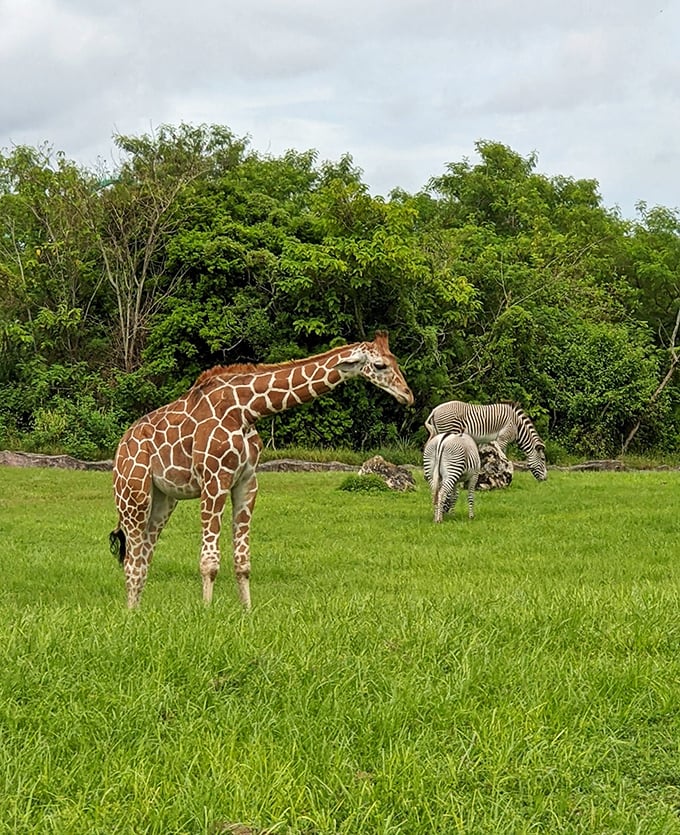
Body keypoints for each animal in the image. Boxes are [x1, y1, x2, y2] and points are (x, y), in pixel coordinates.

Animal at [109, 331, 413, 610]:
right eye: (380, 366)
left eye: (395, 360)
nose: (407, 395)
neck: (246, 410)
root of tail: (121, 445)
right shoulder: (214, 479)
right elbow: (209, 561)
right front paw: (206, 613)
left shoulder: (247, 482)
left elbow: (243, 562)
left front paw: (247, 611)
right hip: (133, 494)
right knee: (132, 560)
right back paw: (131, 616)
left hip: (164, 499)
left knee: (143, 557)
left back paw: (137, 611)